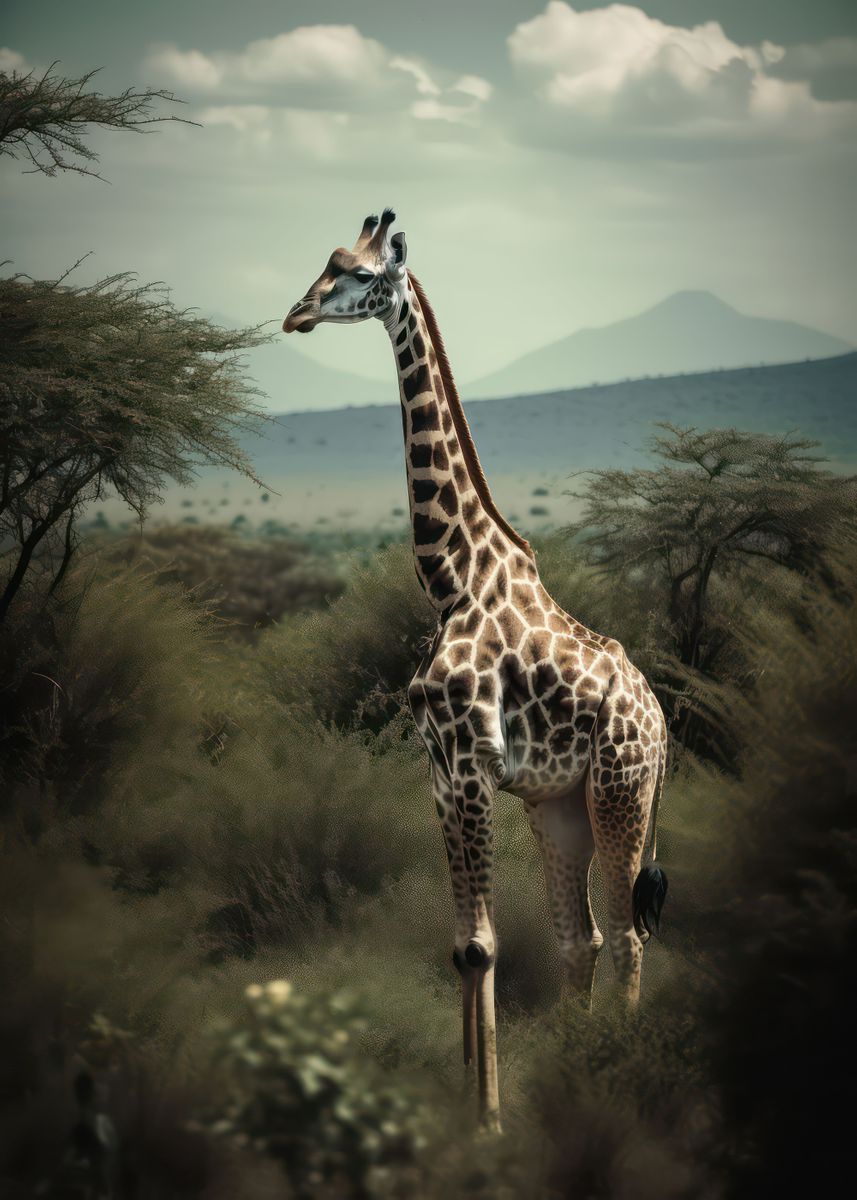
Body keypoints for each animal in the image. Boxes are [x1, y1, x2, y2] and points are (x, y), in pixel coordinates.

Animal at [283, 210, 668, 1132]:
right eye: (325, 262)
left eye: (357, 273)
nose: (295, 315)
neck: (449, 575)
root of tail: (663, 721)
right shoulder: (437, 767)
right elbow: (461, 944)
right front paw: (466, 1114)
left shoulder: (471, 764)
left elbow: (484, 945)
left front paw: (488, 1126)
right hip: (558, 806)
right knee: (579, 936)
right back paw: (572, 1072)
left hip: (620, 789)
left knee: (628, 930)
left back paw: (616, 1080)